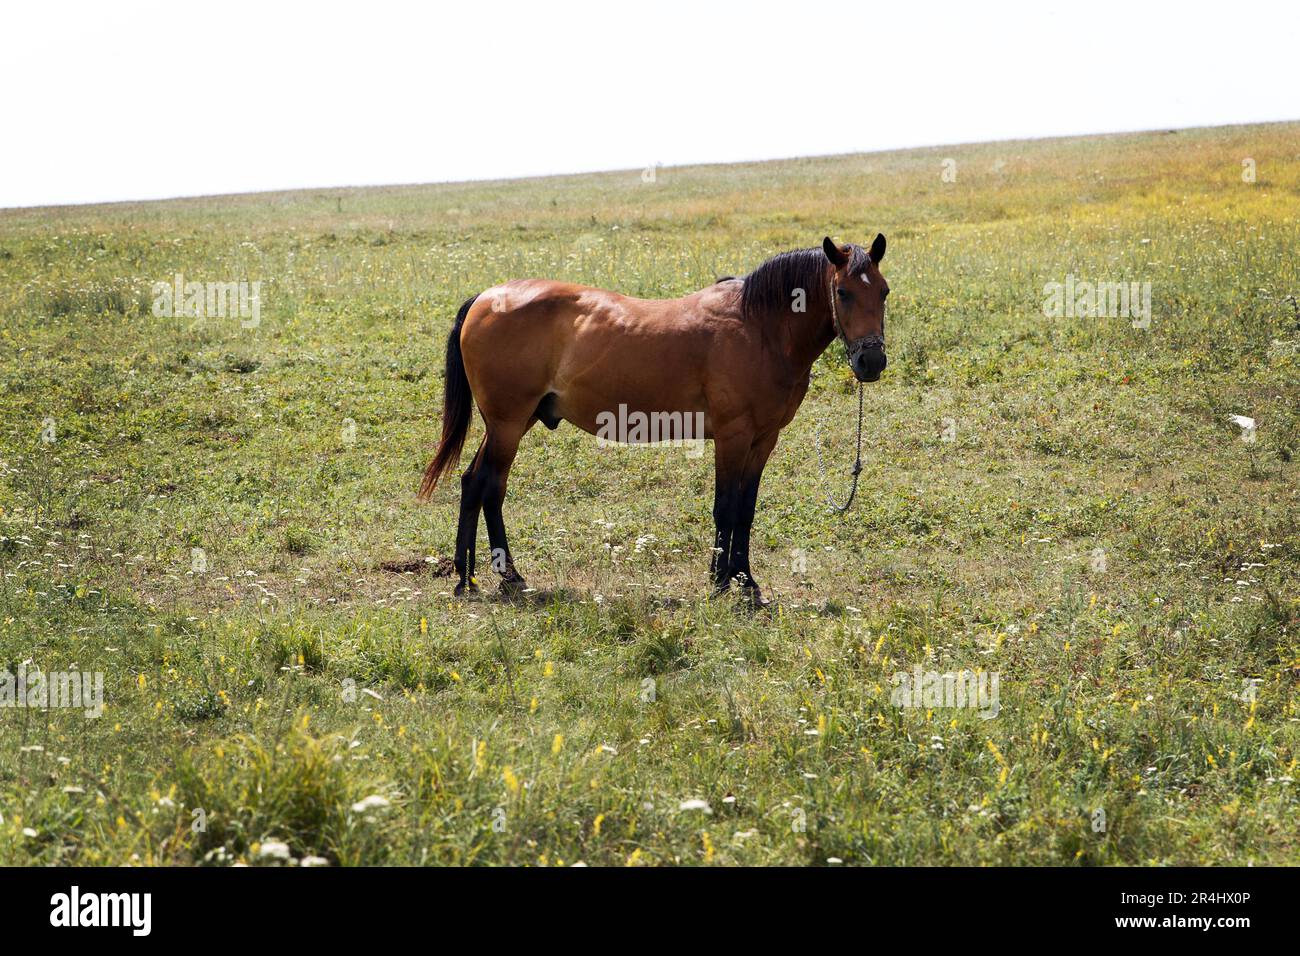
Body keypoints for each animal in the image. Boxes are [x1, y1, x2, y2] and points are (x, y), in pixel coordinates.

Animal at [417, 233, 890, 604]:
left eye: (883, 292)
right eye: (843, 293)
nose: (871, 362)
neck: (760, 327)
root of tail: (484, 298)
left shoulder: (763, 440)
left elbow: (746, 511)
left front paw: (745, 581)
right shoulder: (733, 436)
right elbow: (726, 508)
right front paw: (720, 583)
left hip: (513, 422)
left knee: (475, 484)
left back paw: (479, 577)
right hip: (508, 424)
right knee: (490, 486)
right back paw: (492, 577)